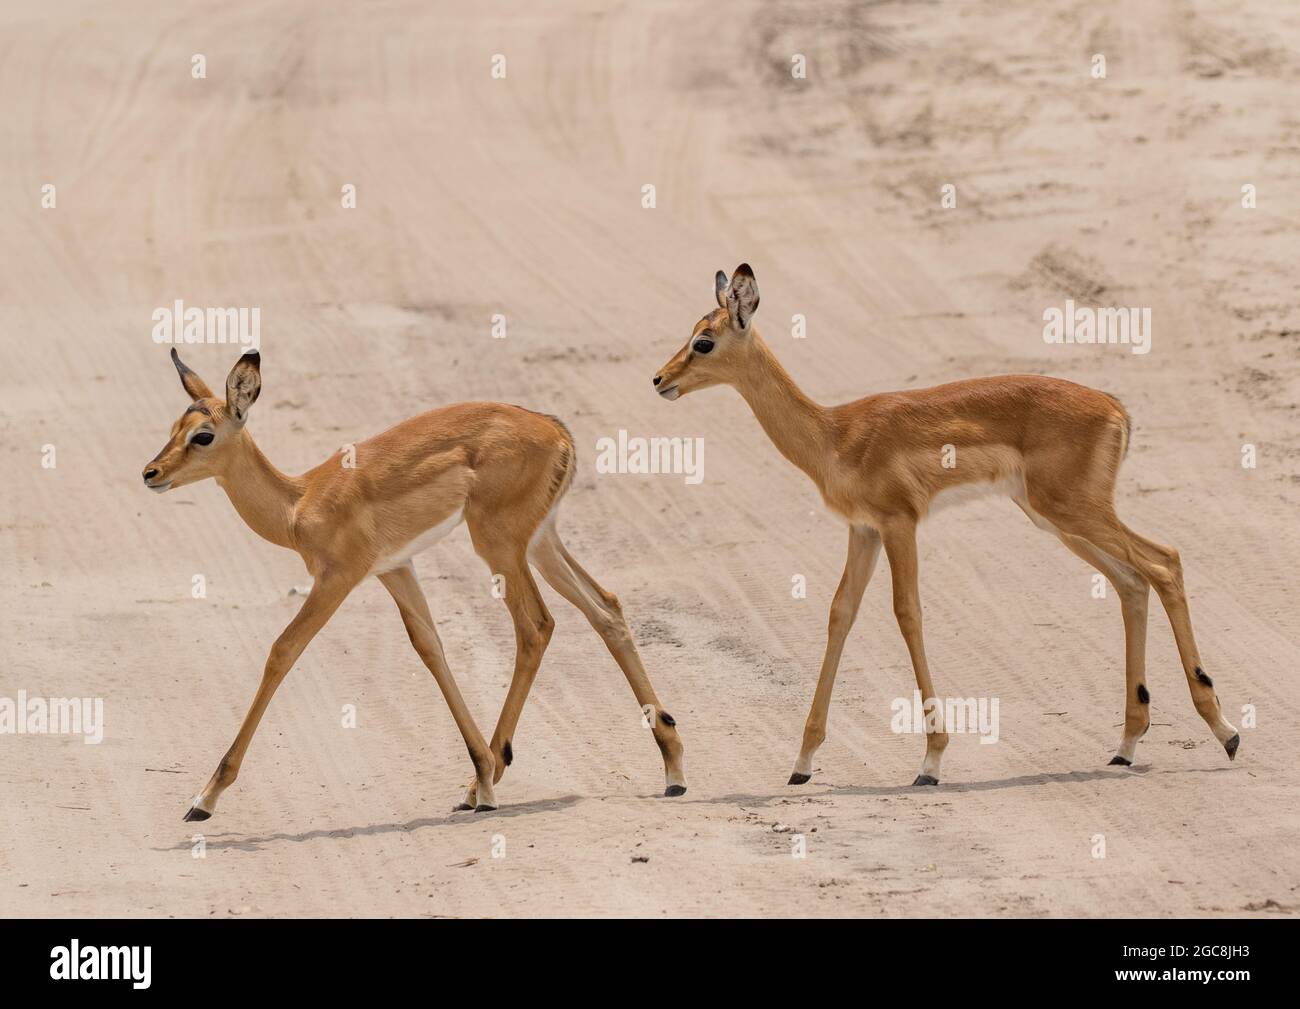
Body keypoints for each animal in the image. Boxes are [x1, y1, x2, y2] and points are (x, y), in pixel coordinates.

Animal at [142, 348, 686, 820]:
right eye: (174, 428)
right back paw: (671, 769)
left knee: (536, 626)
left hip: (499, 545)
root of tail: (555, 429)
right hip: (540, 542)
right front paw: (482, 774)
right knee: (606, 608)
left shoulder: (338, 579)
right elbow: (430, 647)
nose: (151, 472)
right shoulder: (396, 569)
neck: (300, 503)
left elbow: (283, 650)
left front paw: (204, 798)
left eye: (203, 435)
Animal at [653, 264, 1240, 787]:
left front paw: (931, 761)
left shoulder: (899, 523)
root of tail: (1115, 407)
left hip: (1076, 512)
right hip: (1055, 519)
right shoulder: (863, 530)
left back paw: (1226, 731)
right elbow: (840, 614)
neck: (835, 435)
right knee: (1132, 582)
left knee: (1165, 561)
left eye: (704, 341)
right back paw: (1127, 744)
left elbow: (907, 613)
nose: (659, 379)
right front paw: (802, 763)